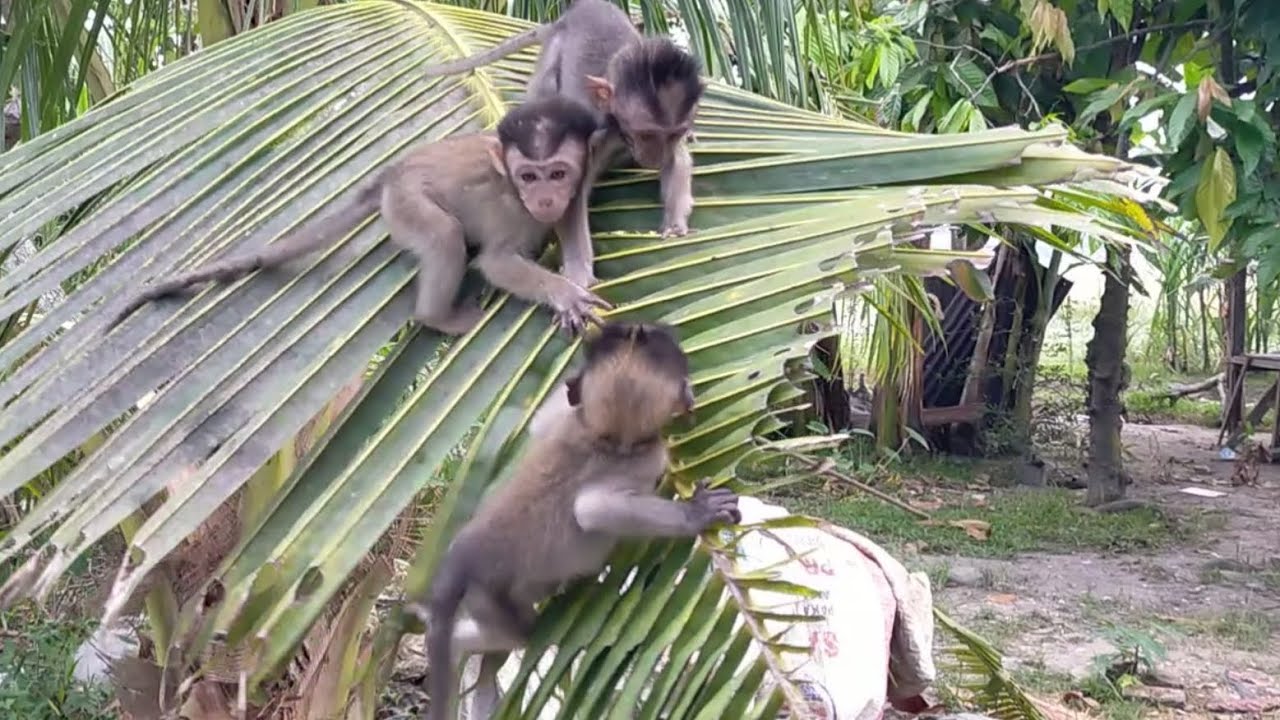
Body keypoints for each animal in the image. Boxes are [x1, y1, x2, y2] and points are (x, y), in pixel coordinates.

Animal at [113, 96, 612, 336]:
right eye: (529, 176)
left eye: (557, 174)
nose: (543, 198)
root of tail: (391, 174)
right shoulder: (513, 211)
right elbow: (496, 262)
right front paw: (563, 294)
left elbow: (570, 222)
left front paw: (576, 273)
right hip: (406, 204)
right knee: (444, 235)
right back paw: (435, 316)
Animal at [414, 321, 741, 720]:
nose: (643, 326)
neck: (605, 436)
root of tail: (464, 553)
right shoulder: (647, 456)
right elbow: (592, 509)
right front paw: (696, 514)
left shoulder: (567, 420)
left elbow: (540, 423)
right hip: (489, 594)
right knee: (516, 633)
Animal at [423, 0, 706, 291]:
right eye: (646, 134)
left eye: (672, 134)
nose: (654, 157)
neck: (618, 129)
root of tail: (564, 19)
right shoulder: (596, 134)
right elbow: (572, 194)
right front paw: (579, 274)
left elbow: (678, 161)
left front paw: (675, 224)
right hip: (553, 52)